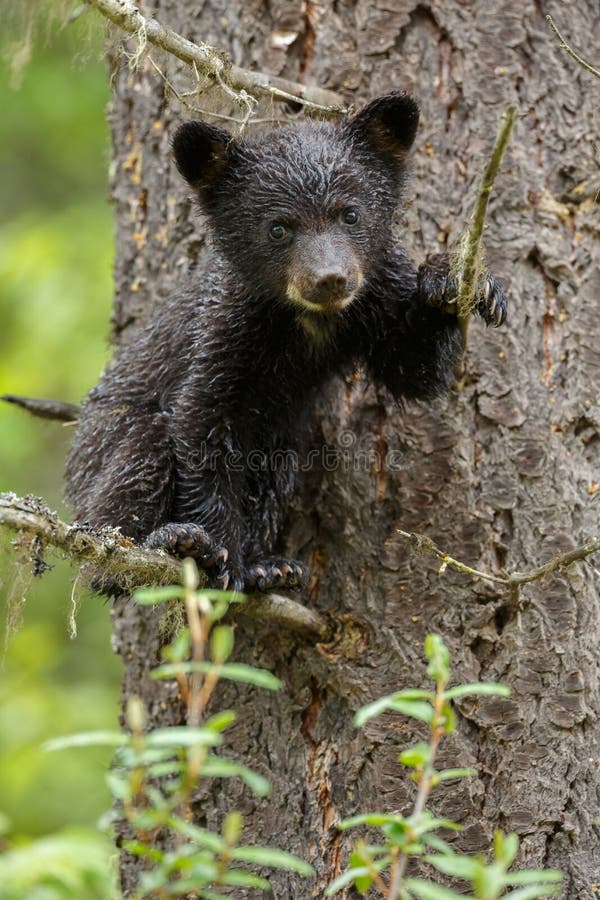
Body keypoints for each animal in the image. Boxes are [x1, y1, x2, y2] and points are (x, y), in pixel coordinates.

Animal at [64, 92, 507, 593]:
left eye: (350, 213)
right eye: (278, 227)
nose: (330, 279)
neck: (309, 321)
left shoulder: (377, 297)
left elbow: (414, 369)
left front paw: (454, 282)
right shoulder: (223, 331)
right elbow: (200, 423)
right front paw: (220, 559)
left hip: (279, 442)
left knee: (274, 475)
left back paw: (269, 566)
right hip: (101, 445)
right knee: (135, 466)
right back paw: (159, 543)